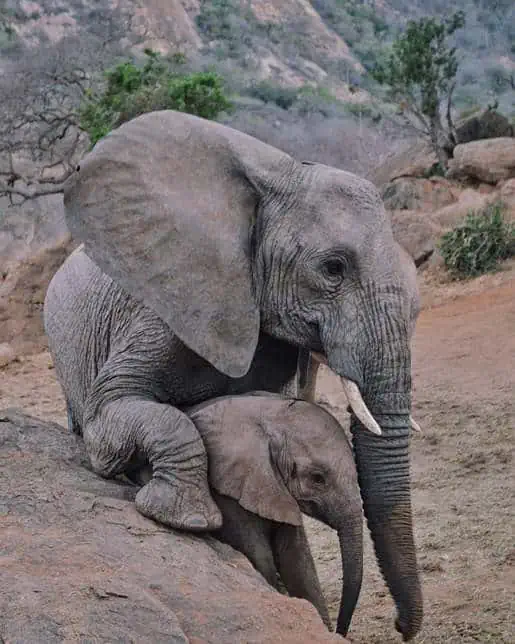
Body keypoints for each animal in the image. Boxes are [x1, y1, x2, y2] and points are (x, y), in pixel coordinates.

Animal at [127, 392, 363, 636]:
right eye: (318, 478)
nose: (341, 631)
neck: (268, 421)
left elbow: (298, 560)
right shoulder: (227, 491)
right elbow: (261, 555)